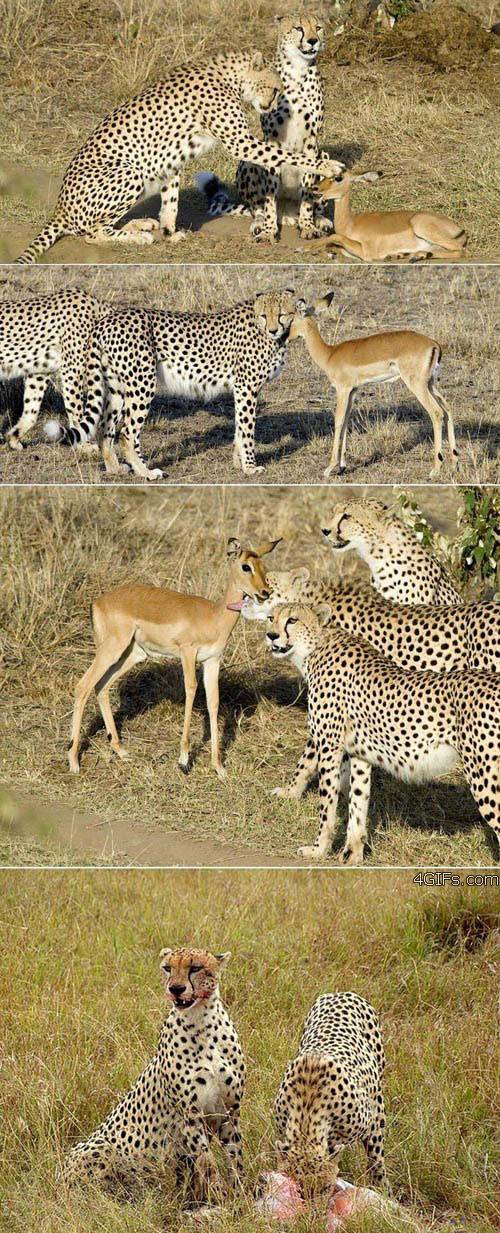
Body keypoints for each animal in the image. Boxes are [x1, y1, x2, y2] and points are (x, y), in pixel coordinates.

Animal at [67, 536, 281, 780]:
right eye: (246, 566)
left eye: (264, 566)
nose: (264, 592)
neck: (214, 617)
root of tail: (97, 603)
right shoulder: (187, 653)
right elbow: (191, 689)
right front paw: (184, 760)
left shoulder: (212, 661)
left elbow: (213, 702)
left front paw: (219, 767)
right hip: (111, 649)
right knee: (82, 686)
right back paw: (73, 761)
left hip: (132, 654)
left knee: (101, 687)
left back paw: (120, 750)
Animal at [289, 293, 457, 478]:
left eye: (290, 319)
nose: (285, 337)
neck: (329, 354)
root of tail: (433, 344)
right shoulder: (353, 391)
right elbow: (347, 419)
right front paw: (342, 466)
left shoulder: (343, 389)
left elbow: (338, 420)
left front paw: (329, 468)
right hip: (430, 384)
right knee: (448, 409)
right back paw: (455, 462)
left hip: (417, 385)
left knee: (437, 412)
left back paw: (435, 469)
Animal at [312, 170, 467, 261]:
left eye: (338, 178)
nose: (315, 189)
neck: (350, 224)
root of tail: (459, 230)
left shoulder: (366, 252)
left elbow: (334, 236)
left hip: (422, 227)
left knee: (461, 251)